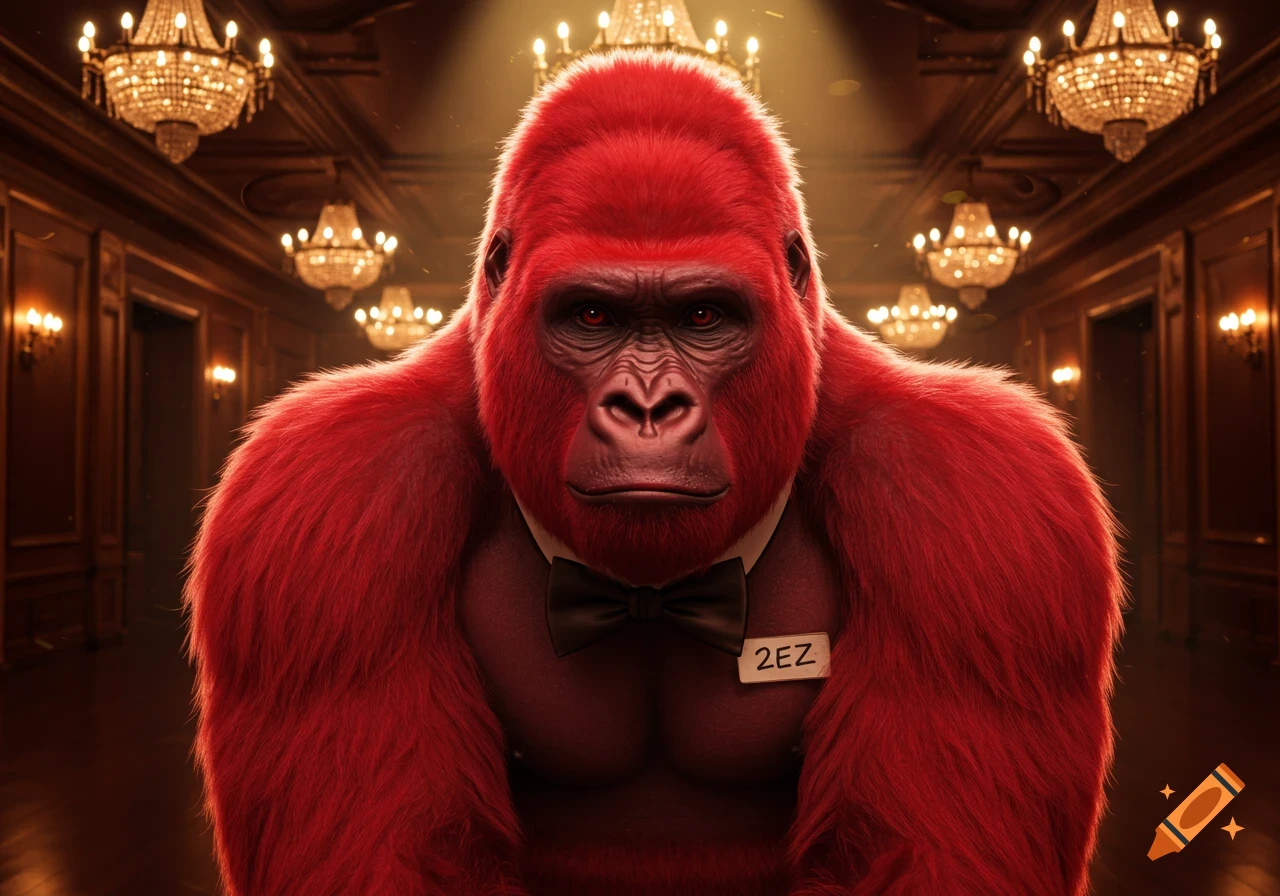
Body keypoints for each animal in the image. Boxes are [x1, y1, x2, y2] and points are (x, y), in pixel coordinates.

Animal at [188, 51, 1122, 896]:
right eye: (592, 316)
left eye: (704, 316)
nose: (647, 407)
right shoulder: (333, 489)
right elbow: (391, 851)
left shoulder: (976, 495)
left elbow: (920, 850)